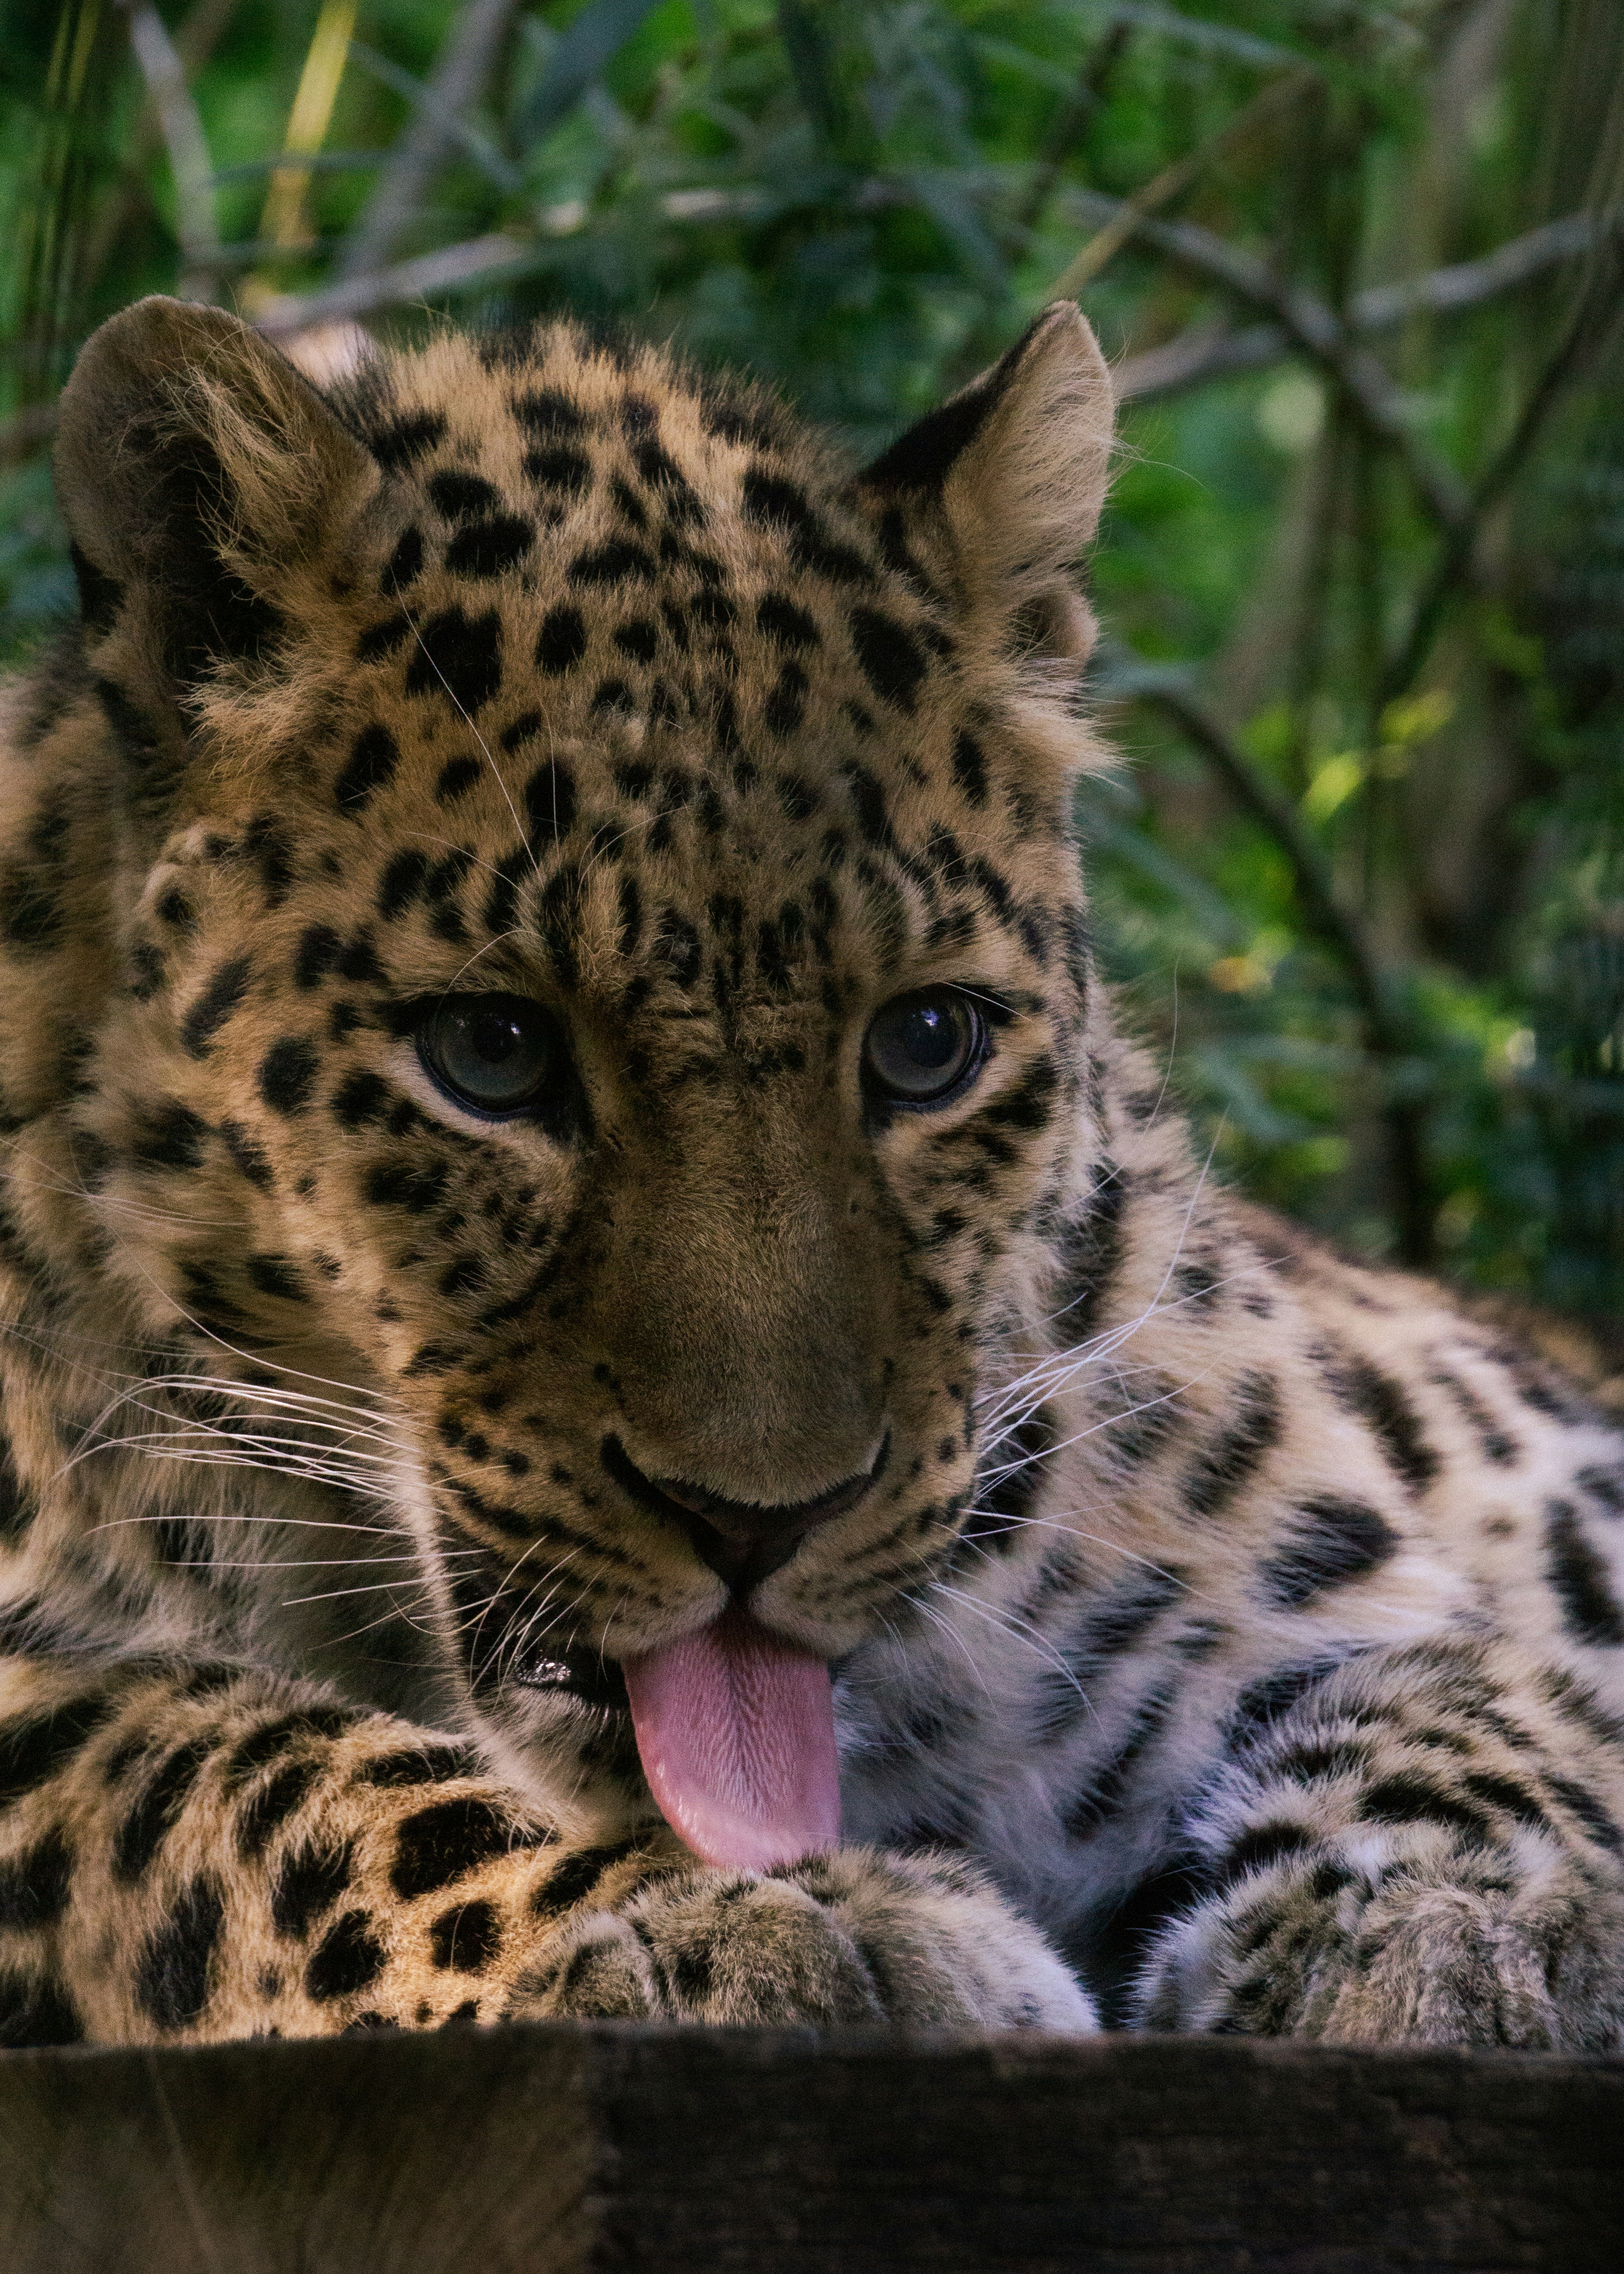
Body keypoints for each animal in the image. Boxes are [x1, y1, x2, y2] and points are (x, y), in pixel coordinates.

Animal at [0, 289, 1621, 2056]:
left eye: (923, 1042)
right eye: (490, 1052)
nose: (755, 1523)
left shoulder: (1329, 1571)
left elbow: (1474, 1714)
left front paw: (1456, 1927)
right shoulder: (47, 1687)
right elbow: (264, 1777)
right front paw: (757, 1915)